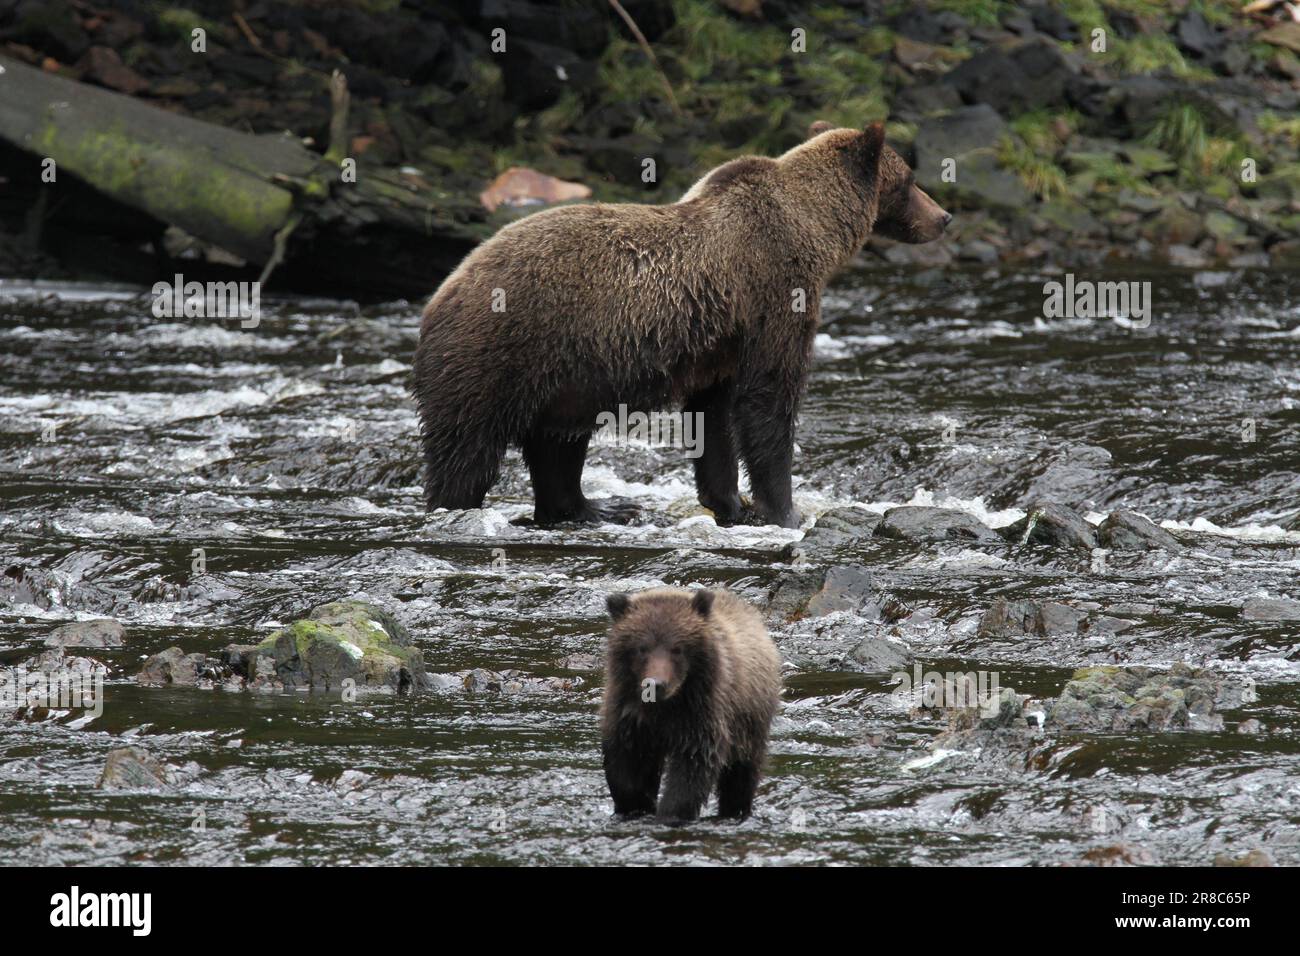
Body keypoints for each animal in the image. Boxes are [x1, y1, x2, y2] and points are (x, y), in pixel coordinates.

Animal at [412, 122, 950, 528]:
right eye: (908, 181)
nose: (943, 216)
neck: (813, 233)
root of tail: (441, 293)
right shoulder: (774, 294)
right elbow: (769, 400)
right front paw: (785, 510)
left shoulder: (722, 342)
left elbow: (713, 416)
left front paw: (730, 502)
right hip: (500, 352)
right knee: (468, 450)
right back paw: (457, 505)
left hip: (564, 374)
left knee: (558, 443)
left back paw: (598, 507)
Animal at [600, 587, 782, 822]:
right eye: (642, 648)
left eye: (677, 649)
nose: (656, 684)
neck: (665, 706)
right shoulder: (628, 714)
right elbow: (626, 761)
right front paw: (636, 804)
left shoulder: (701, 712)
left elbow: (693, 765)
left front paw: (670, 812)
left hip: (749, 718)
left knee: (742, 771)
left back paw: (735, 809)